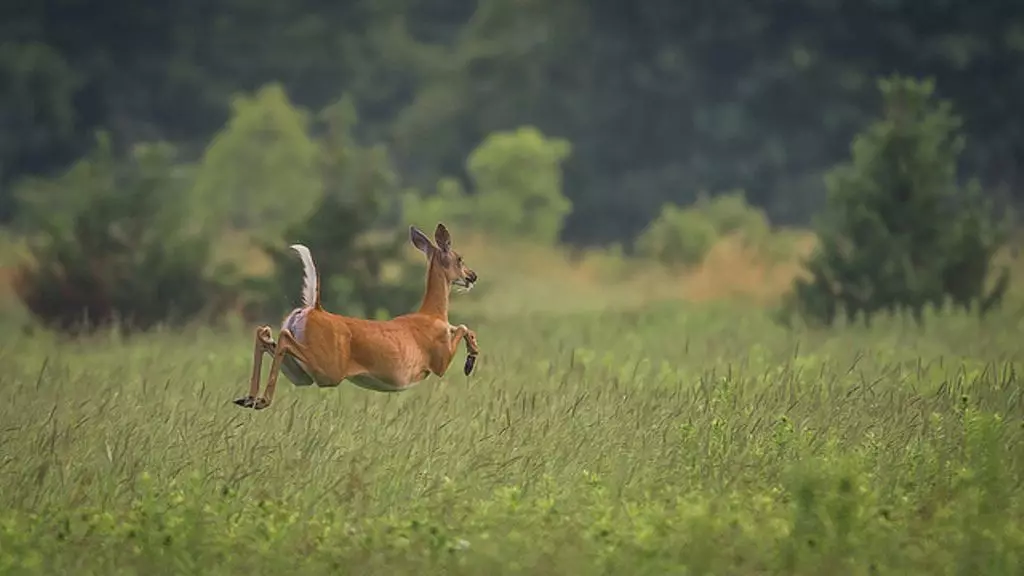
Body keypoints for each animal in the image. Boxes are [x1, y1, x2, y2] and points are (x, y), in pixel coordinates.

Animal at [232, 220, 479, 407]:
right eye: (459, 258)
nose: (472, 276)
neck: (432, 314)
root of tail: (313, 308)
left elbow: (461, 328)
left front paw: (472, 355)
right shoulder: (439, 362)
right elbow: (462, 327)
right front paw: (470, 362)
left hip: (302, 374)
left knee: (264, 335)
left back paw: (250, 398)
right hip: (328, 368)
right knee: (282, 339)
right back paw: (260, 400)